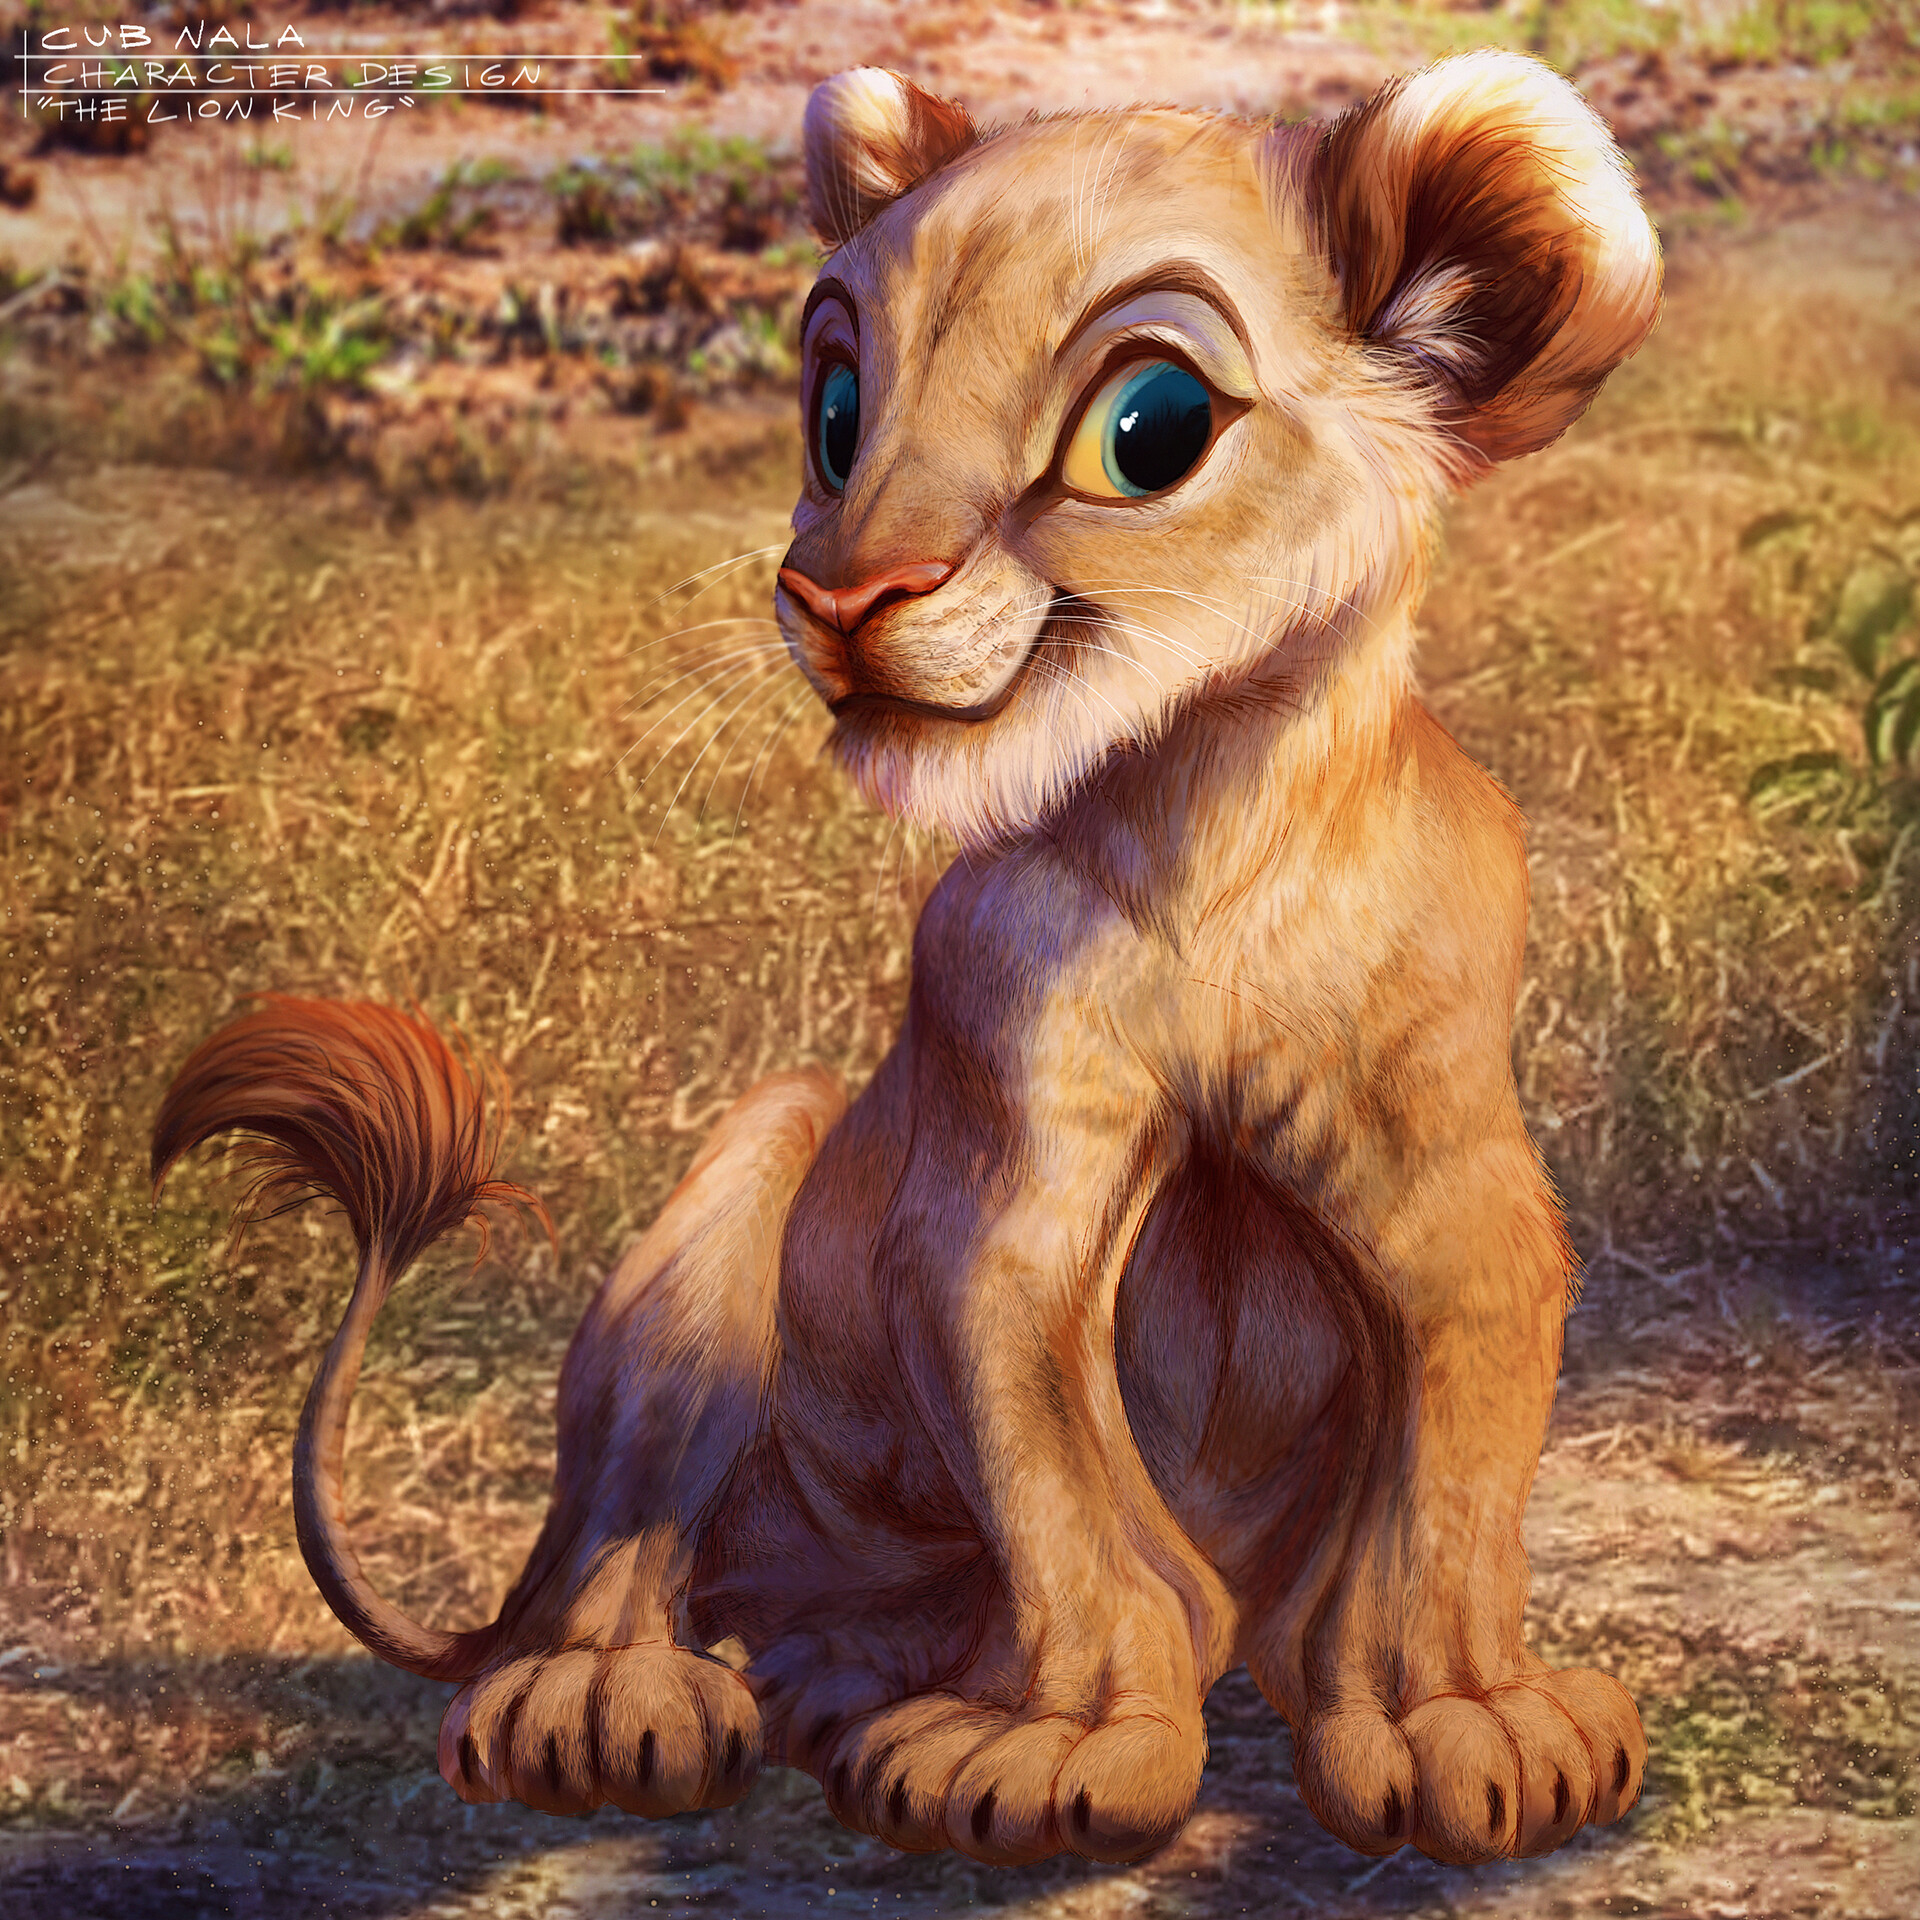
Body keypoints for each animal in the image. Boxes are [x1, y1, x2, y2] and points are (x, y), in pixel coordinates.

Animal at [152, 51, 1663, 1869]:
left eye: (1150, 429)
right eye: (835, 413)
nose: (839, 591)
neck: (1199, 824)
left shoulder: (1453, 1199)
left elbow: (1444, 1485)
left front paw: (1462, 1720)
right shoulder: (996, 1211)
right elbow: (1066, 1497)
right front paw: (1059, 1742)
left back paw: (849, 1693)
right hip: (738, 1194)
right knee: (629, 1547)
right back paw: (613, 1705)